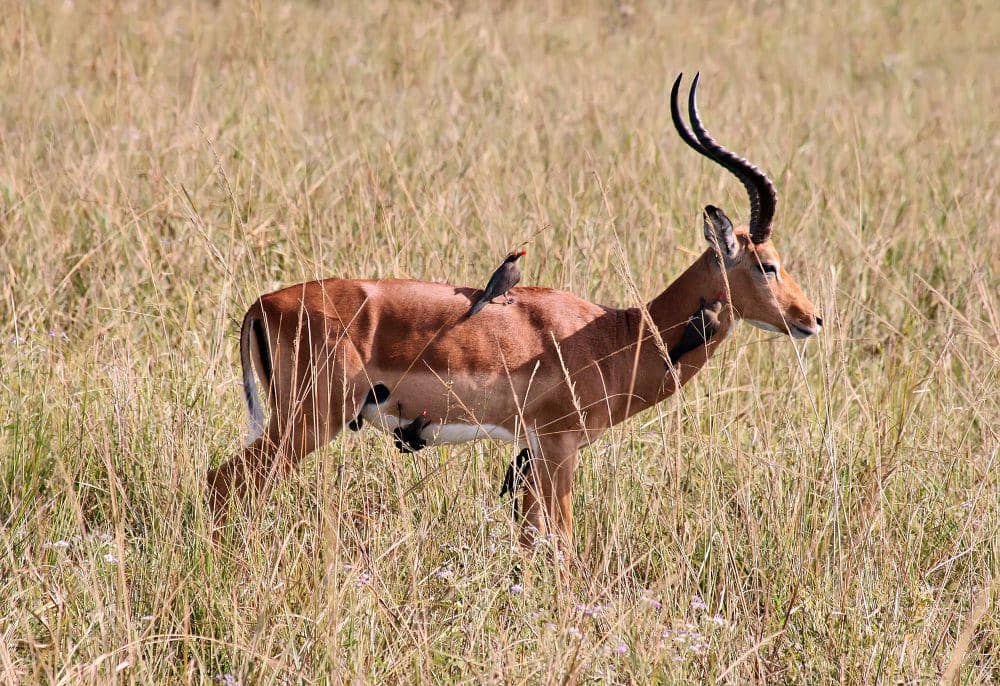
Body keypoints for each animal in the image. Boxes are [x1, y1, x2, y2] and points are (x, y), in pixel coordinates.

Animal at [207, 74, 822, 552]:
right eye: (767, 264)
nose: (812, 319)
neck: (614, 335)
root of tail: (262, 305)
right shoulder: (559, 447)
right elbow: (561, 542)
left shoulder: (529, 453)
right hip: (308, 421)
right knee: (223, 482)